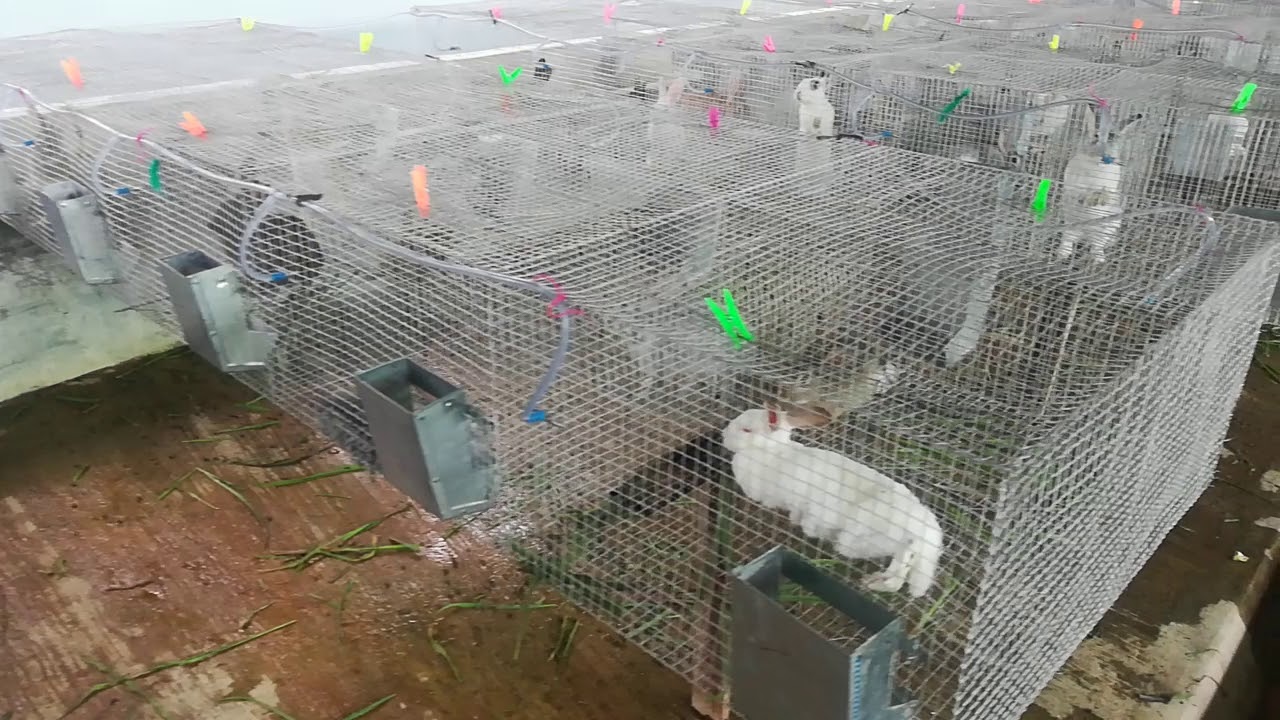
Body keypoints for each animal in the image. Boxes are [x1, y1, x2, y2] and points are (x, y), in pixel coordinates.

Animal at [722, 405, 943, 598]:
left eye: (746, 430)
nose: (723, 436)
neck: (772, 455)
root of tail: (926, 529)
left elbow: (802, 517)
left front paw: (802, 527)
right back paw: (875, 580)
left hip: (860, 539)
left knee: (901, 564)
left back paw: (874, 582)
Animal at [1057, 105, 1145, 264]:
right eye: (1096, 136)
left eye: (1112, 136)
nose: (1103, 153)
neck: (1095, 164)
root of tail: (1085, 234)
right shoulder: (1072, 185)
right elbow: (1078, 193)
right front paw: (1088, 199)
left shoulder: (1113, 188)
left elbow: (1107, 194)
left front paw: (1099, 199)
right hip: (1069, 225)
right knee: (1068, 240)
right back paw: (1062, 255)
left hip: (1105, 230)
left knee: (1097, 246)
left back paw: (1099, 260)